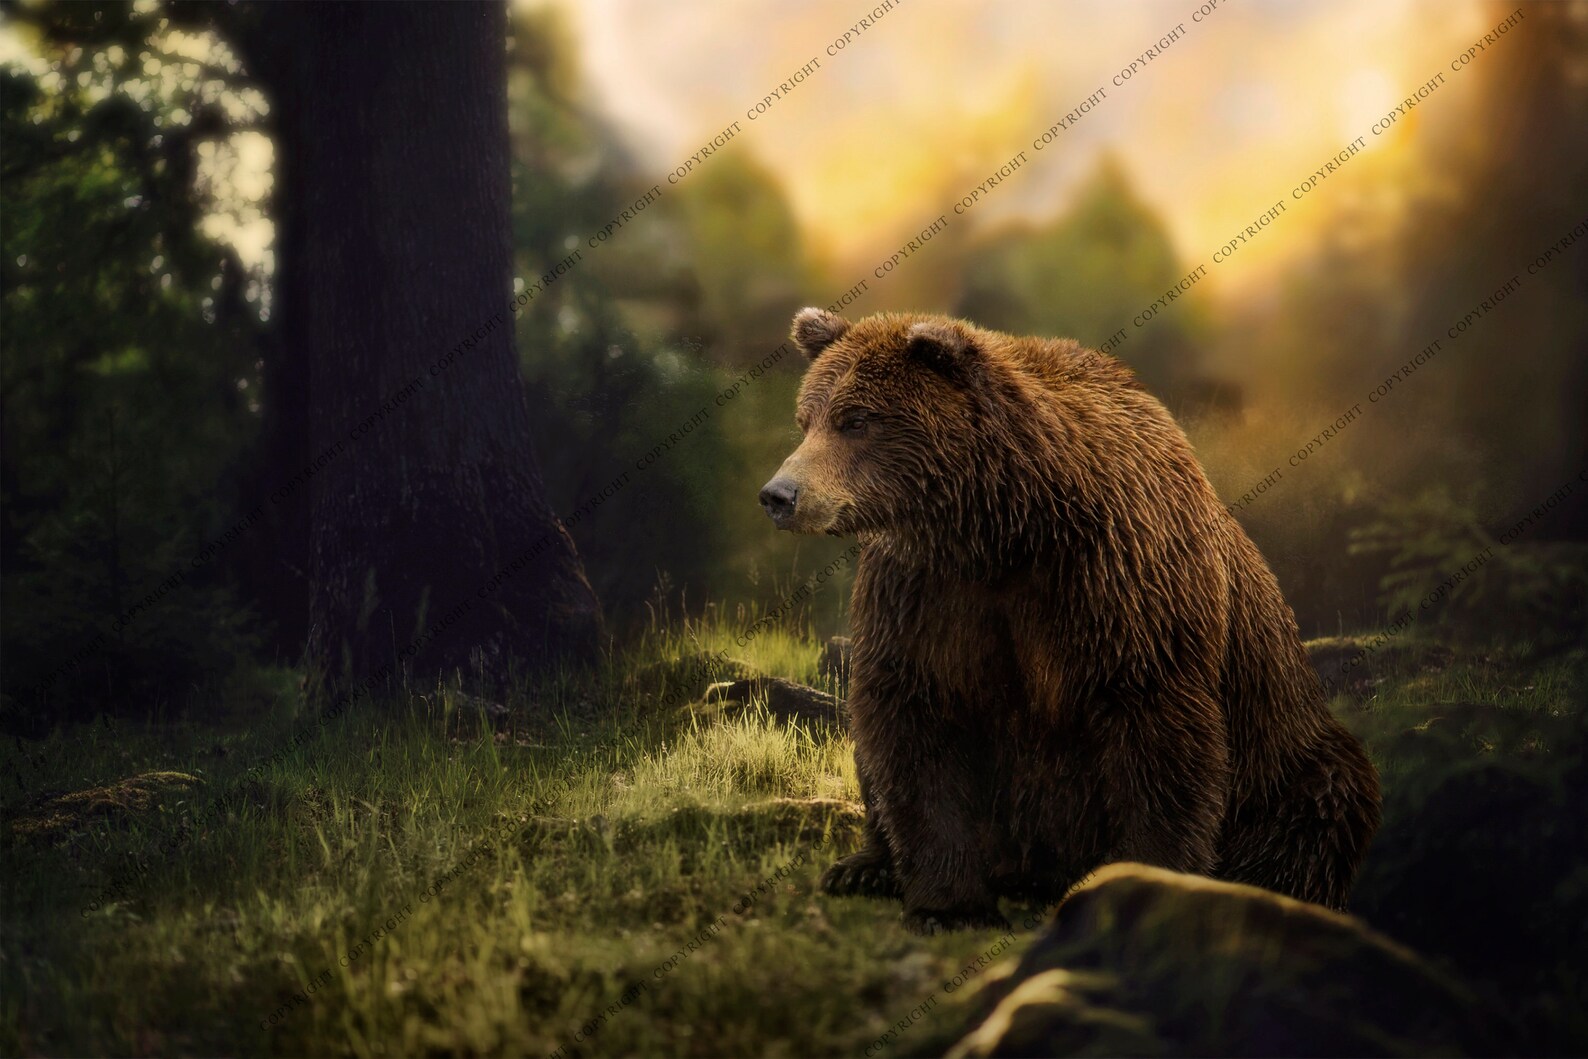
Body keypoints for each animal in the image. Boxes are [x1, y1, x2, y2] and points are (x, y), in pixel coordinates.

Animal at [758, 308, 1381, 934]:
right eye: (806, 419)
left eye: (856, 419)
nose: (779, 495)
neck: (1004, 530)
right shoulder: (925, 594)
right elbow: (913, 720)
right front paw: (947, 905)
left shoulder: (1121, 587)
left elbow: (1159, 741)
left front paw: (1147, 885)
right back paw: (863, 868)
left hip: (1285, 752)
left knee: (1318, 804)